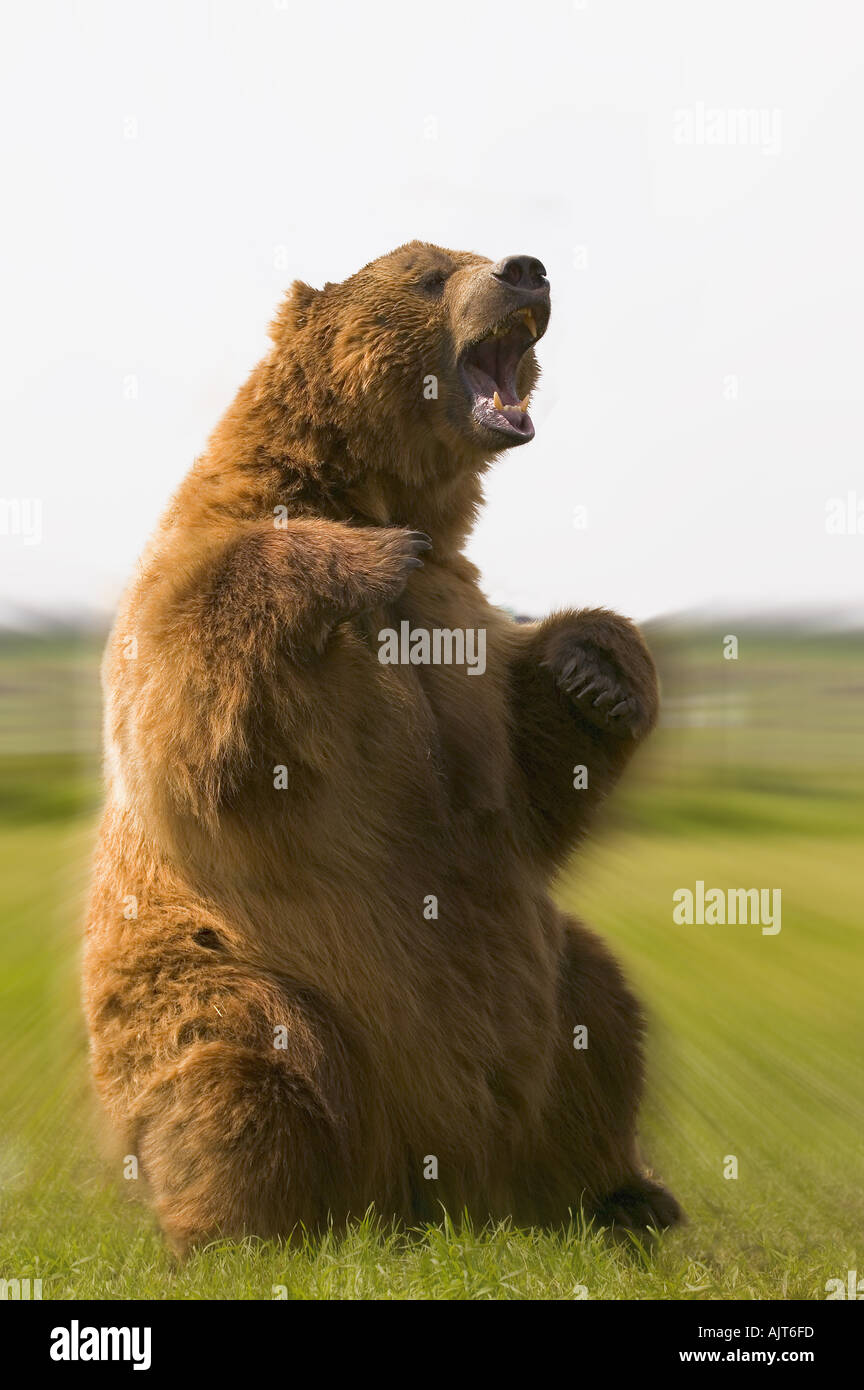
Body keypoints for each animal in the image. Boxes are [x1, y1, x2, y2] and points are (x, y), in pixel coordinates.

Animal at [83, 241, 681, 1254]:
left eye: (477, 255)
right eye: (430, 272)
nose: (526, 268)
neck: (372, 487)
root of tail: (439, 1196)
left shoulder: (464, 627)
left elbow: (528, 781)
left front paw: (595, 665)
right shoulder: (194, 580)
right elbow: (188, 715)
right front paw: (365, 558)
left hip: (546, 997)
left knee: (602, 1022)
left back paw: (620, 1197)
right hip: (237, 975)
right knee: (243, 1074)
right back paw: (244, 1232)